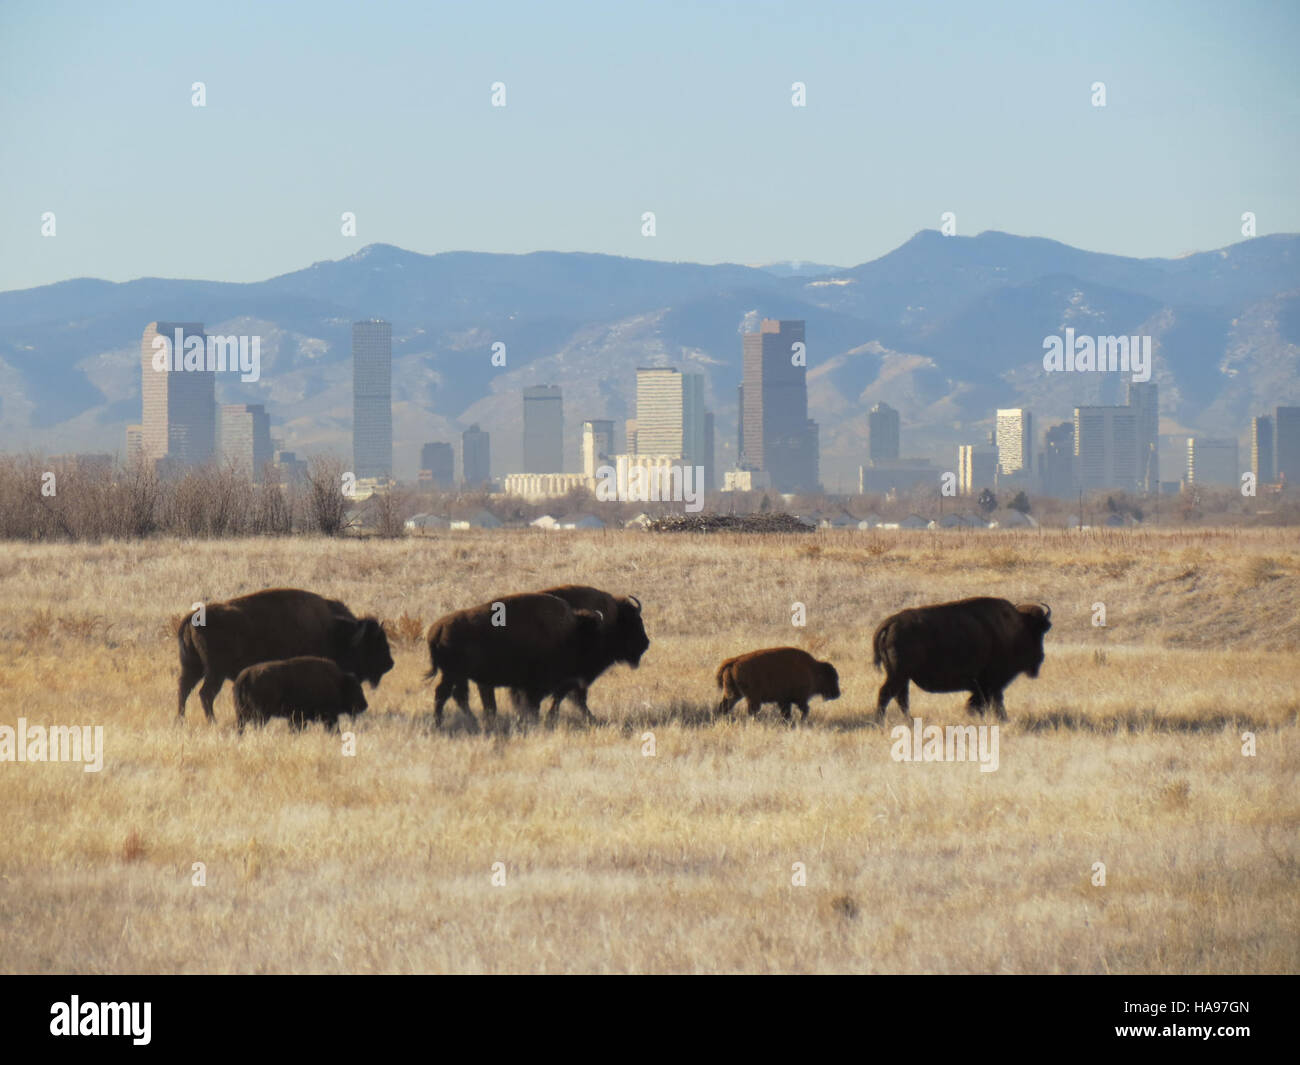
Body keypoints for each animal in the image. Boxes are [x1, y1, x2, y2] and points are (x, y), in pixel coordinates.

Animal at [177, 588, 394, 722]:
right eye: (372, 644)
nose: (389, 664)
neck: (333, 631)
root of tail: (192, 617)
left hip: (193, 667)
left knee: (184, 690)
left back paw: (180, 720)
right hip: (215, 672)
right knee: (205, 694)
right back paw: (212, 721)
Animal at [233, 656, 368, 733]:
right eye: (357, 689)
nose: (364, 705)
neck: (339, 683)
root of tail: (245, 675)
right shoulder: (327, 716)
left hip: (242, 716)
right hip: (261, 716)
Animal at [426, 592, 606, 728]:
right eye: (589, 639)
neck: (570, 633)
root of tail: (438, 628)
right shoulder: (535, 685)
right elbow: (533, 703)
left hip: (457, 676)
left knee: (458, 696)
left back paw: (471, 722)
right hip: (453, 674)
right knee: (444, 694)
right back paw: (439, 723)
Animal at [872, 597, 1051, 721]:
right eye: (1039, 631)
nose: (1040, 657)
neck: (1017, 628)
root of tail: (891, 622)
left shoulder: (986, 686)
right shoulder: (991, 683)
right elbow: (990, 702)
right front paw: (1001, 719)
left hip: (902, 677)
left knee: (900, 698)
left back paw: (908, 721)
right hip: (898, 675)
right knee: (887, 694)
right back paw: (881, 722)